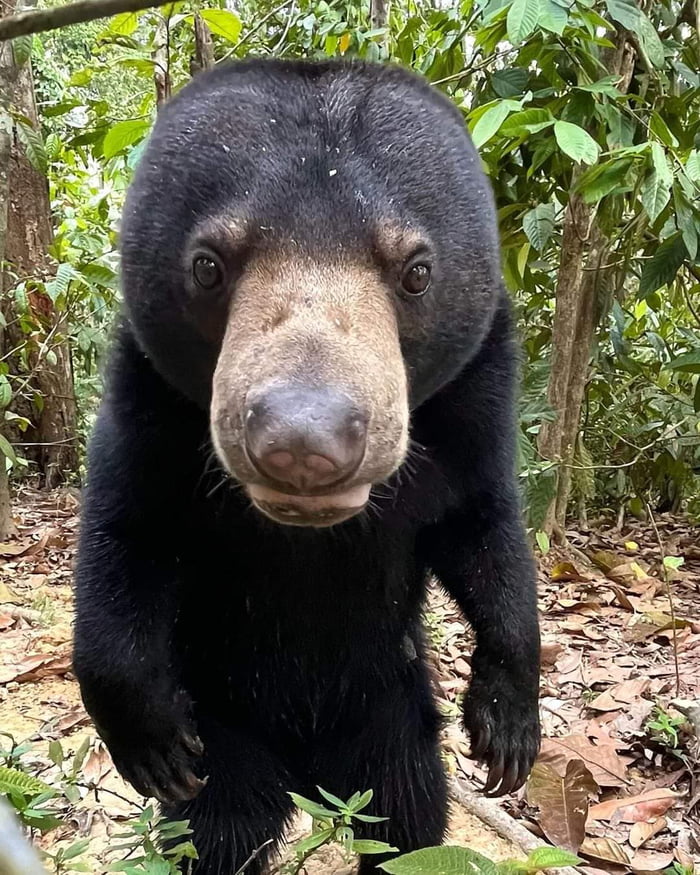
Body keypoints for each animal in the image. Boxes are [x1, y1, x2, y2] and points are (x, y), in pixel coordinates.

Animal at [73, 58, 541, 875]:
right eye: (208, 265)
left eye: (416, 271)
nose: (302, 440)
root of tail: (306, 768)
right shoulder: (146, 400)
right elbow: (129, 531)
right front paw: (152, 743)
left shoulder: (477, 403)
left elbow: (482, 528)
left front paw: (508, 729)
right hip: (228, 721)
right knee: (220, 828)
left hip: (390, 711)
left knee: (405, 812)